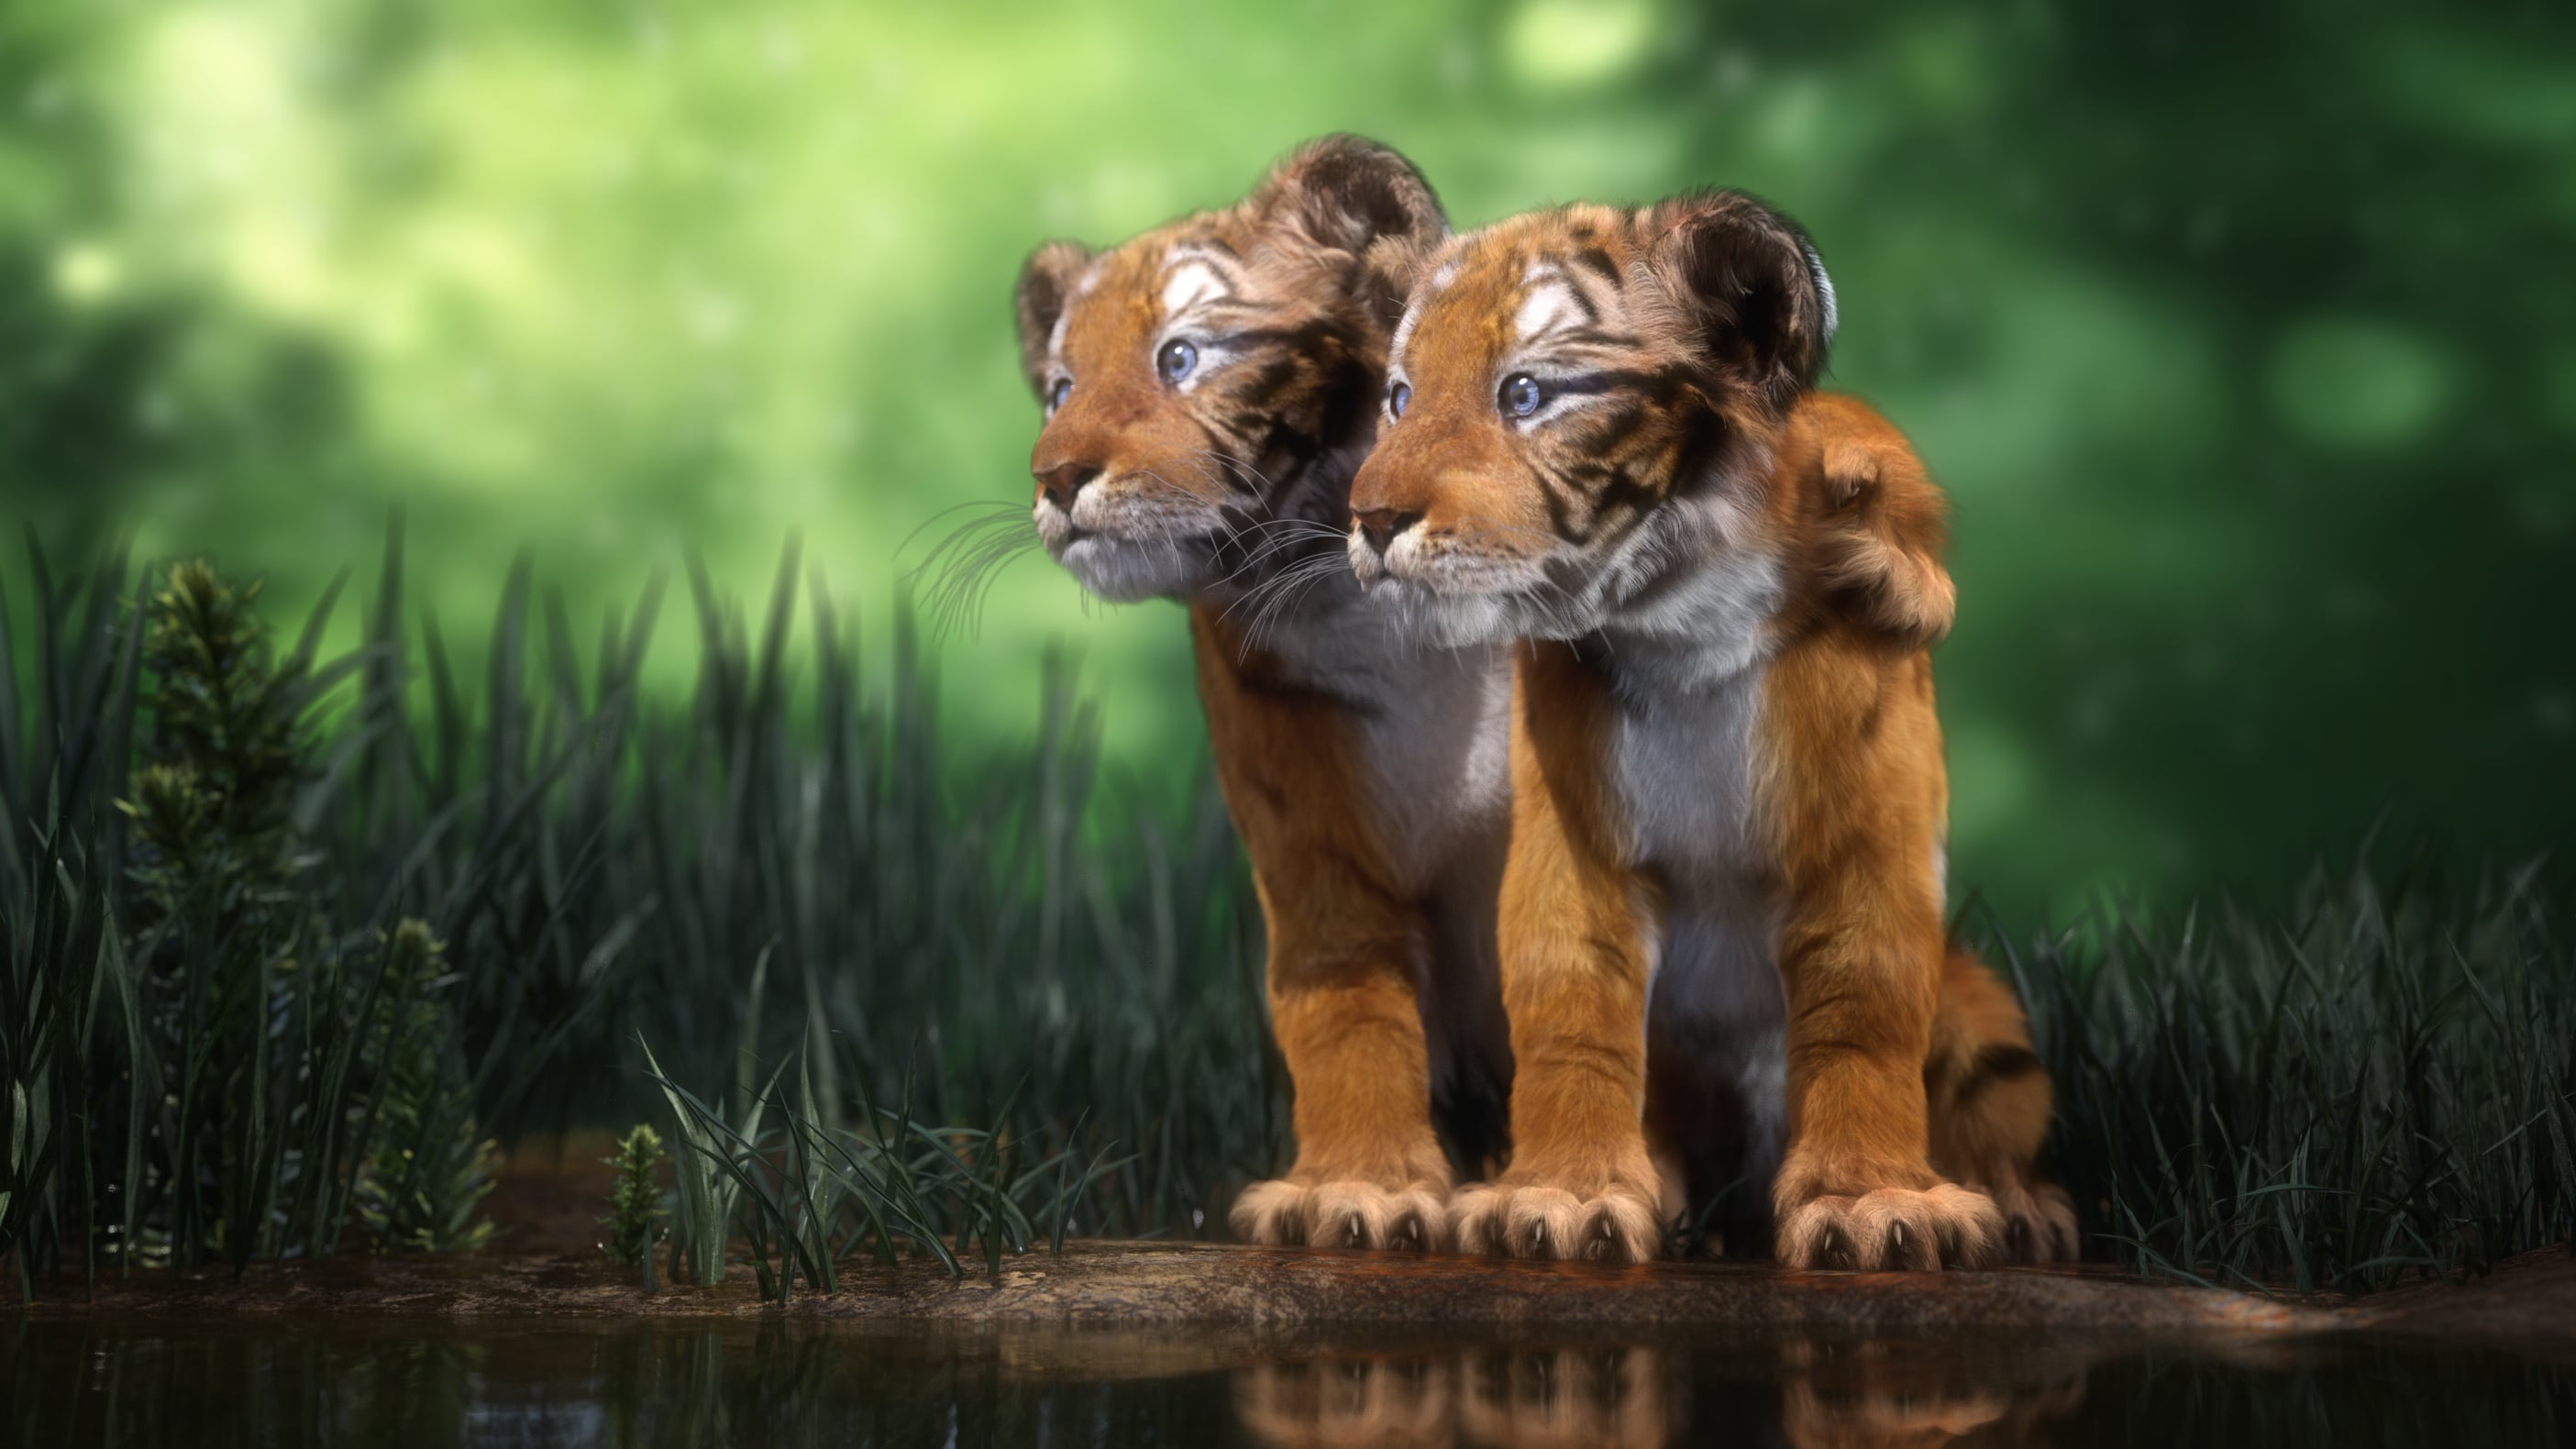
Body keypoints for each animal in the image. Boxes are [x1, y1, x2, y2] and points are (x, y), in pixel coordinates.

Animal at [1010, 136, 1514, 1251]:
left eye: (1181, 357)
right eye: (1060, 386)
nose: (1054, 477)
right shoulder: (1307, 836)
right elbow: (1344, 1008)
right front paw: (1360, 1190)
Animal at [1342, 189, 2077, 1268]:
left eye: (1524, 394)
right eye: (1398, 396)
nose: (1369, 517)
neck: (1681, 629)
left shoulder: (1869, 839)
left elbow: (1862, 1013)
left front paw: (1875, 1203)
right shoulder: (1576, 850)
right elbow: (1572, 1009)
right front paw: (1558, 1198)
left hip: (1983, 1012)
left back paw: (2020, 1209)